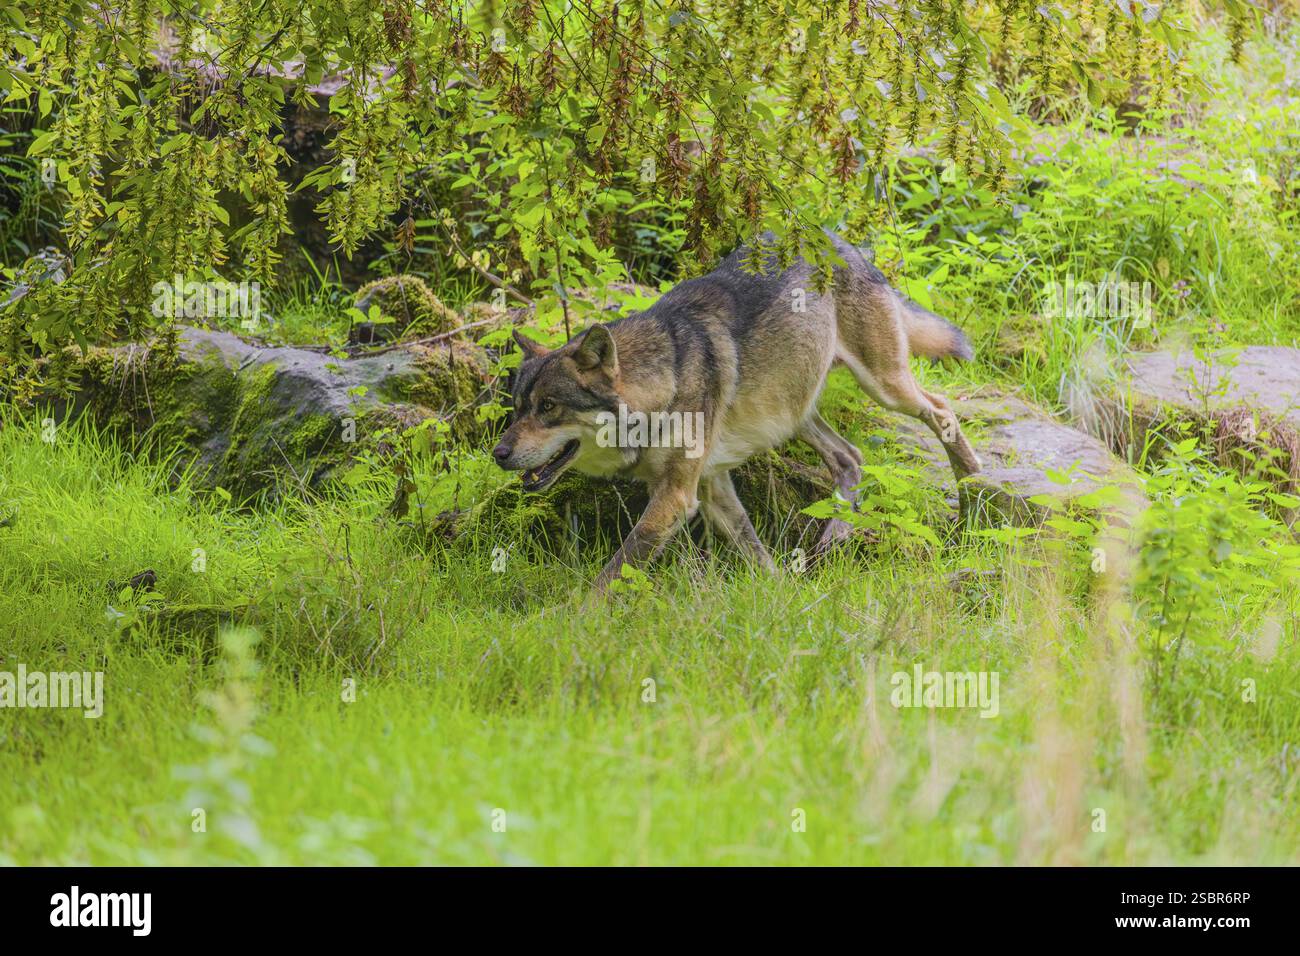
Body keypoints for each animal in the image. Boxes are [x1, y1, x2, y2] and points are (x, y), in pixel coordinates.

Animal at [492, 232, 981, 592]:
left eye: (548, 407)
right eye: (517, 408)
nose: (498, 454)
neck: (663, 383)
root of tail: (841, 242)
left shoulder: (676, 498)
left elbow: (614, 572)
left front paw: (572, 618)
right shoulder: (711, 485)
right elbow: (755, 550)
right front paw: (783, 594)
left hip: (885, 386)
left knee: (942, 410)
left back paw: (973, 488)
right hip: (794, 412)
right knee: (851, 457)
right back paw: (837, 533)